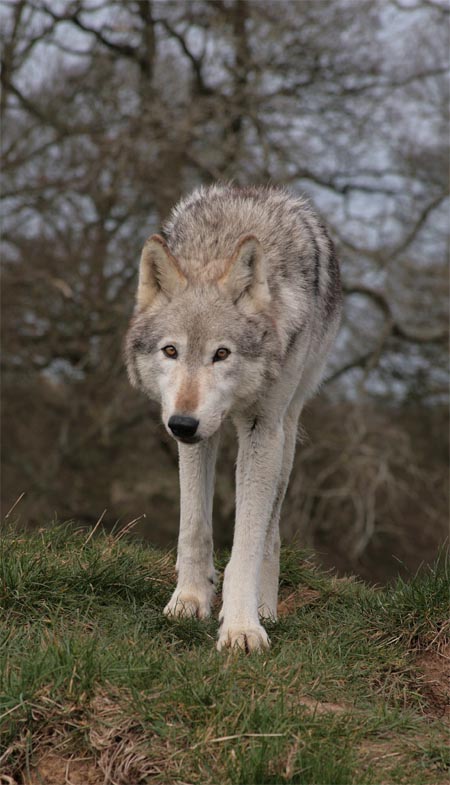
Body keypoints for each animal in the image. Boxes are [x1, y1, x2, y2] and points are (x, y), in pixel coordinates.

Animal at [125, 184, 342, 652]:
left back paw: (265, 606)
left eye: (221, 353)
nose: (181, 425)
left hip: (286, 429)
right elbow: (194, 526)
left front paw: (242, 625)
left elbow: (247, 540)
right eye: (171, 350)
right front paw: (189, 599)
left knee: (271, 529)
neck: (221, 241)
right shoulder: (198, 434)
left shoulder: (262, 428)